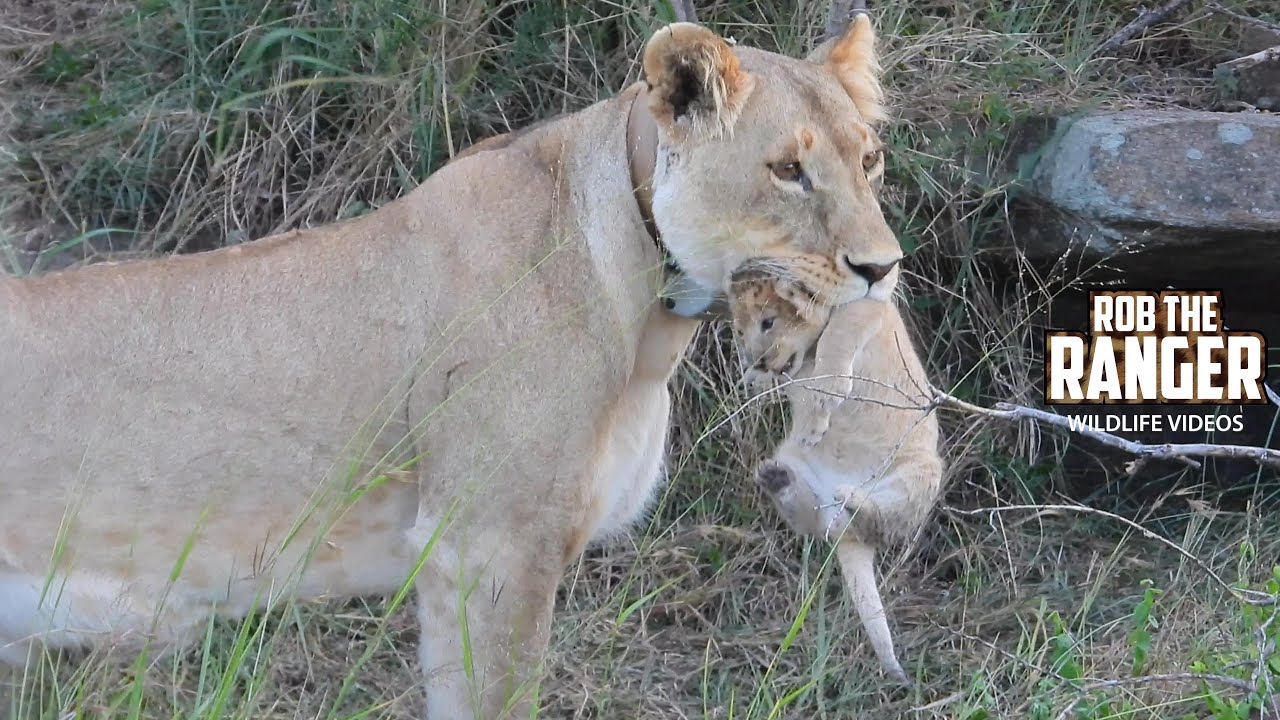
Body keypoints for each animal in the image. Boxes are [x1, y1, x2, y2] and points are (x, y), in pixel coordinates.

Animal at [729, 270, 943, 685]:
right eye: (740, 330)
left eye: (768, 322)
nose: (757, 361)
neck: (806, 360)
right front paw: (752, 380)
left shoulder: (868, 310)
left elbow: (839, 335)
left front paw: (820, 407)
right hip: (794, 460)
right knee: (812, 524)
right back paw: (776, 478)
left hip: (923, 470)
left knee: (878, 525)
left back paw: (855, 500)